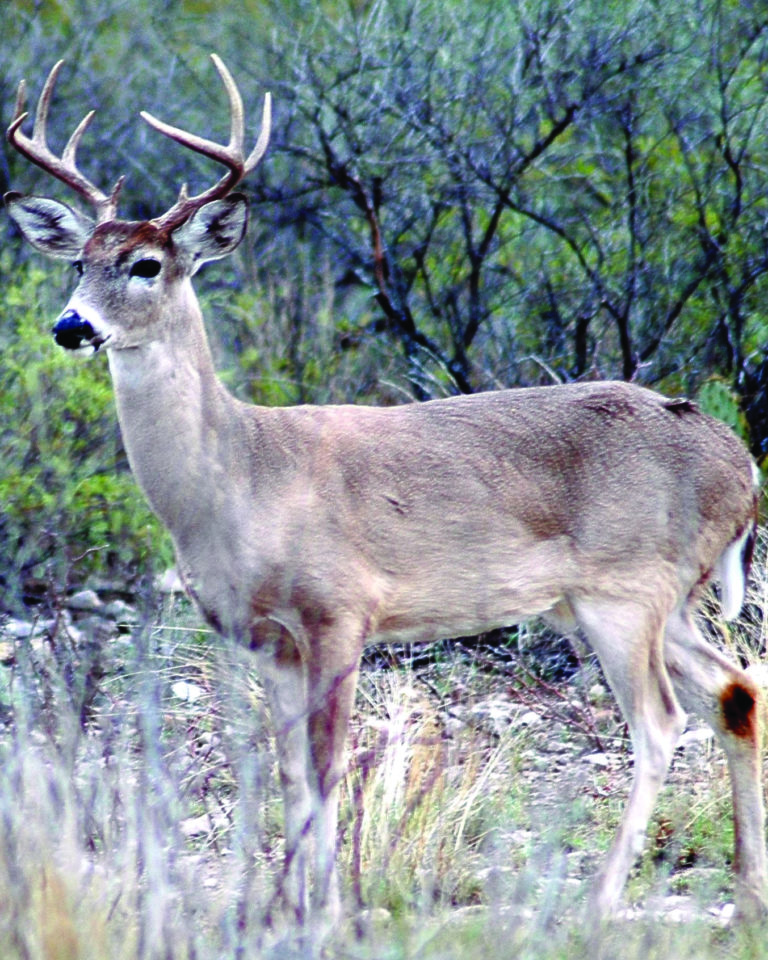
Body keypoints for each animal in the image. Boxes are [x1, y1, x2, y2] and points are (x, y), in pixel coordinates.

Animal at [4, 56, 767, 932]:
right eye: (78, 263)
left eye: (147, 265)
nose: (71, 326)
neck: (239, 480)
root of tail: (741, 467)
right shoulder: (269, 640)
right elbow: (290, 773)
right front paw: (288, 906)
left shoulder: (341, 609)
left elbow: (327, 765)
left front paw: (328, 909)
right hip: (647, 601)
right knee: (737, 689)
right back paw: (747, 898)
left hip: (626, 589)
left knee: (661, 724)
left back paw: (599, 901)